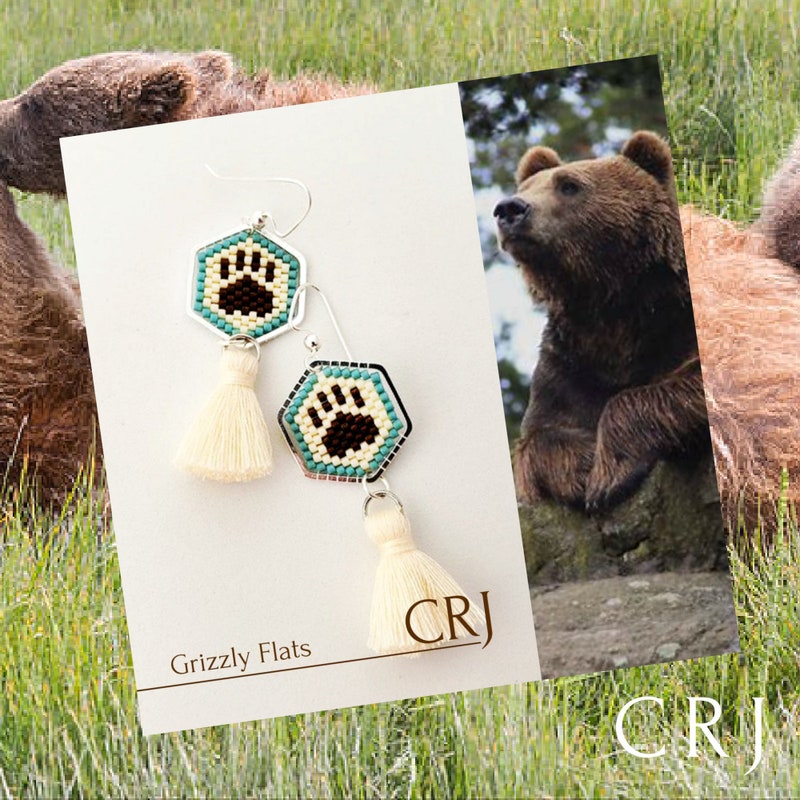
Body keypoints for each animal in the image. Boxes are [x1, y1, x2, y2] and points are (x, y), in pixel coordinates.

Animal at [493, 131, 711, 511]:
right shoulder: (569, 365)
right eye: (528, 185)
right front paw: (584, 470)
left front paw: (609, 475)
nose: (510, 209)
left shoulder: (678, 327)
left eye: (568, 185)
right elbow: (539, 438)